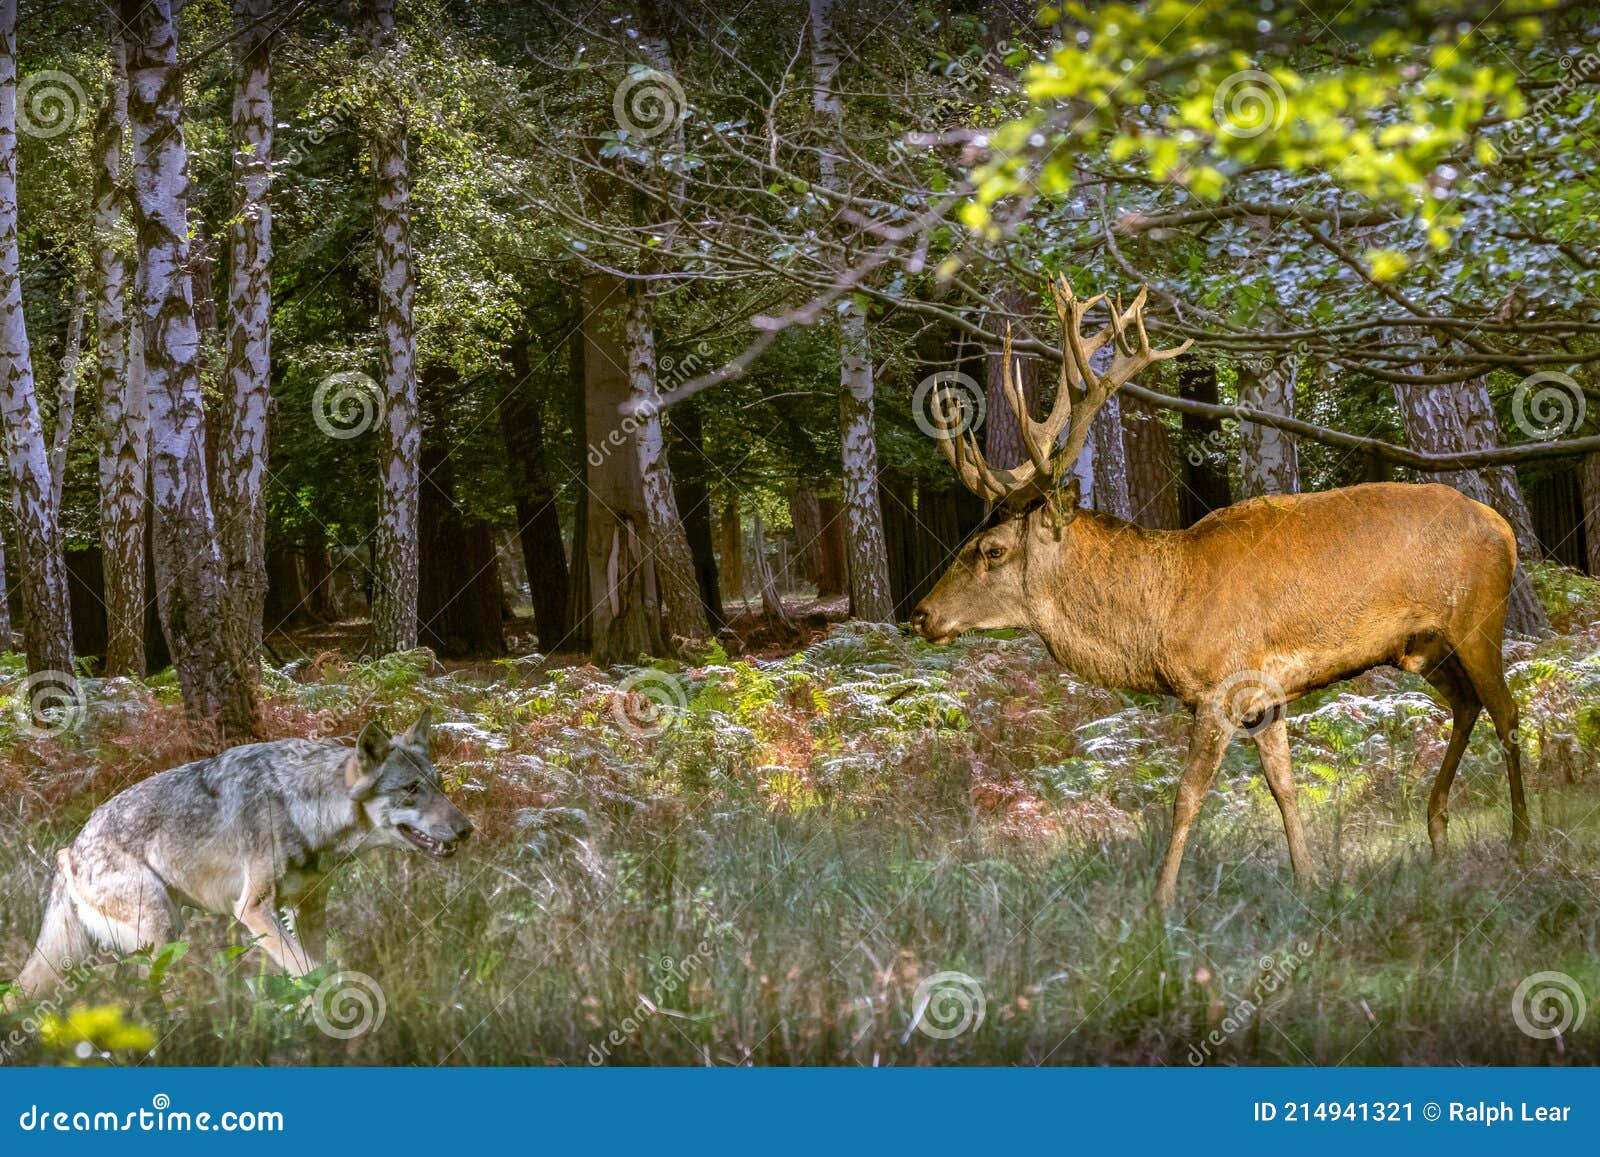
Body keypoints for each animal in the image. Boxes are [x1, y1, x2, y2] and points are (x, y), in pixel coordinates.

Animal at [11, 709, 471, 998]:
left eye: (437, 785)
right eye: (411, 789)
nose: (467, 830)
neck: (307, 805)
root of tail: (70, 848)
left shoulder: (309, 910)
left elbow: (315, 969)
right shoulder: (253, 909)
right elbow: (310, 972)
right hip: (164, 931)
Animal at [909, 278, 1528, 911]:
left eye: (992, 550)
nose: (922, 614)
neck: (1161, 615)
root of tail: (1504, 530)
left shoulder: (1220, 688)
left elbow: (1185, 798)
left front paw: (1159, 903)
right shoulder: (1265, 693)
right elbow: (1284, 786)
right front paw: (1309, 883)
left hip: (1480, 619)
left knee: (1507, 711)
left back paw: (1521, 841)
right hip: (1424, 648)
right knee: (1468, 705)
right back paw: (1437, 831)